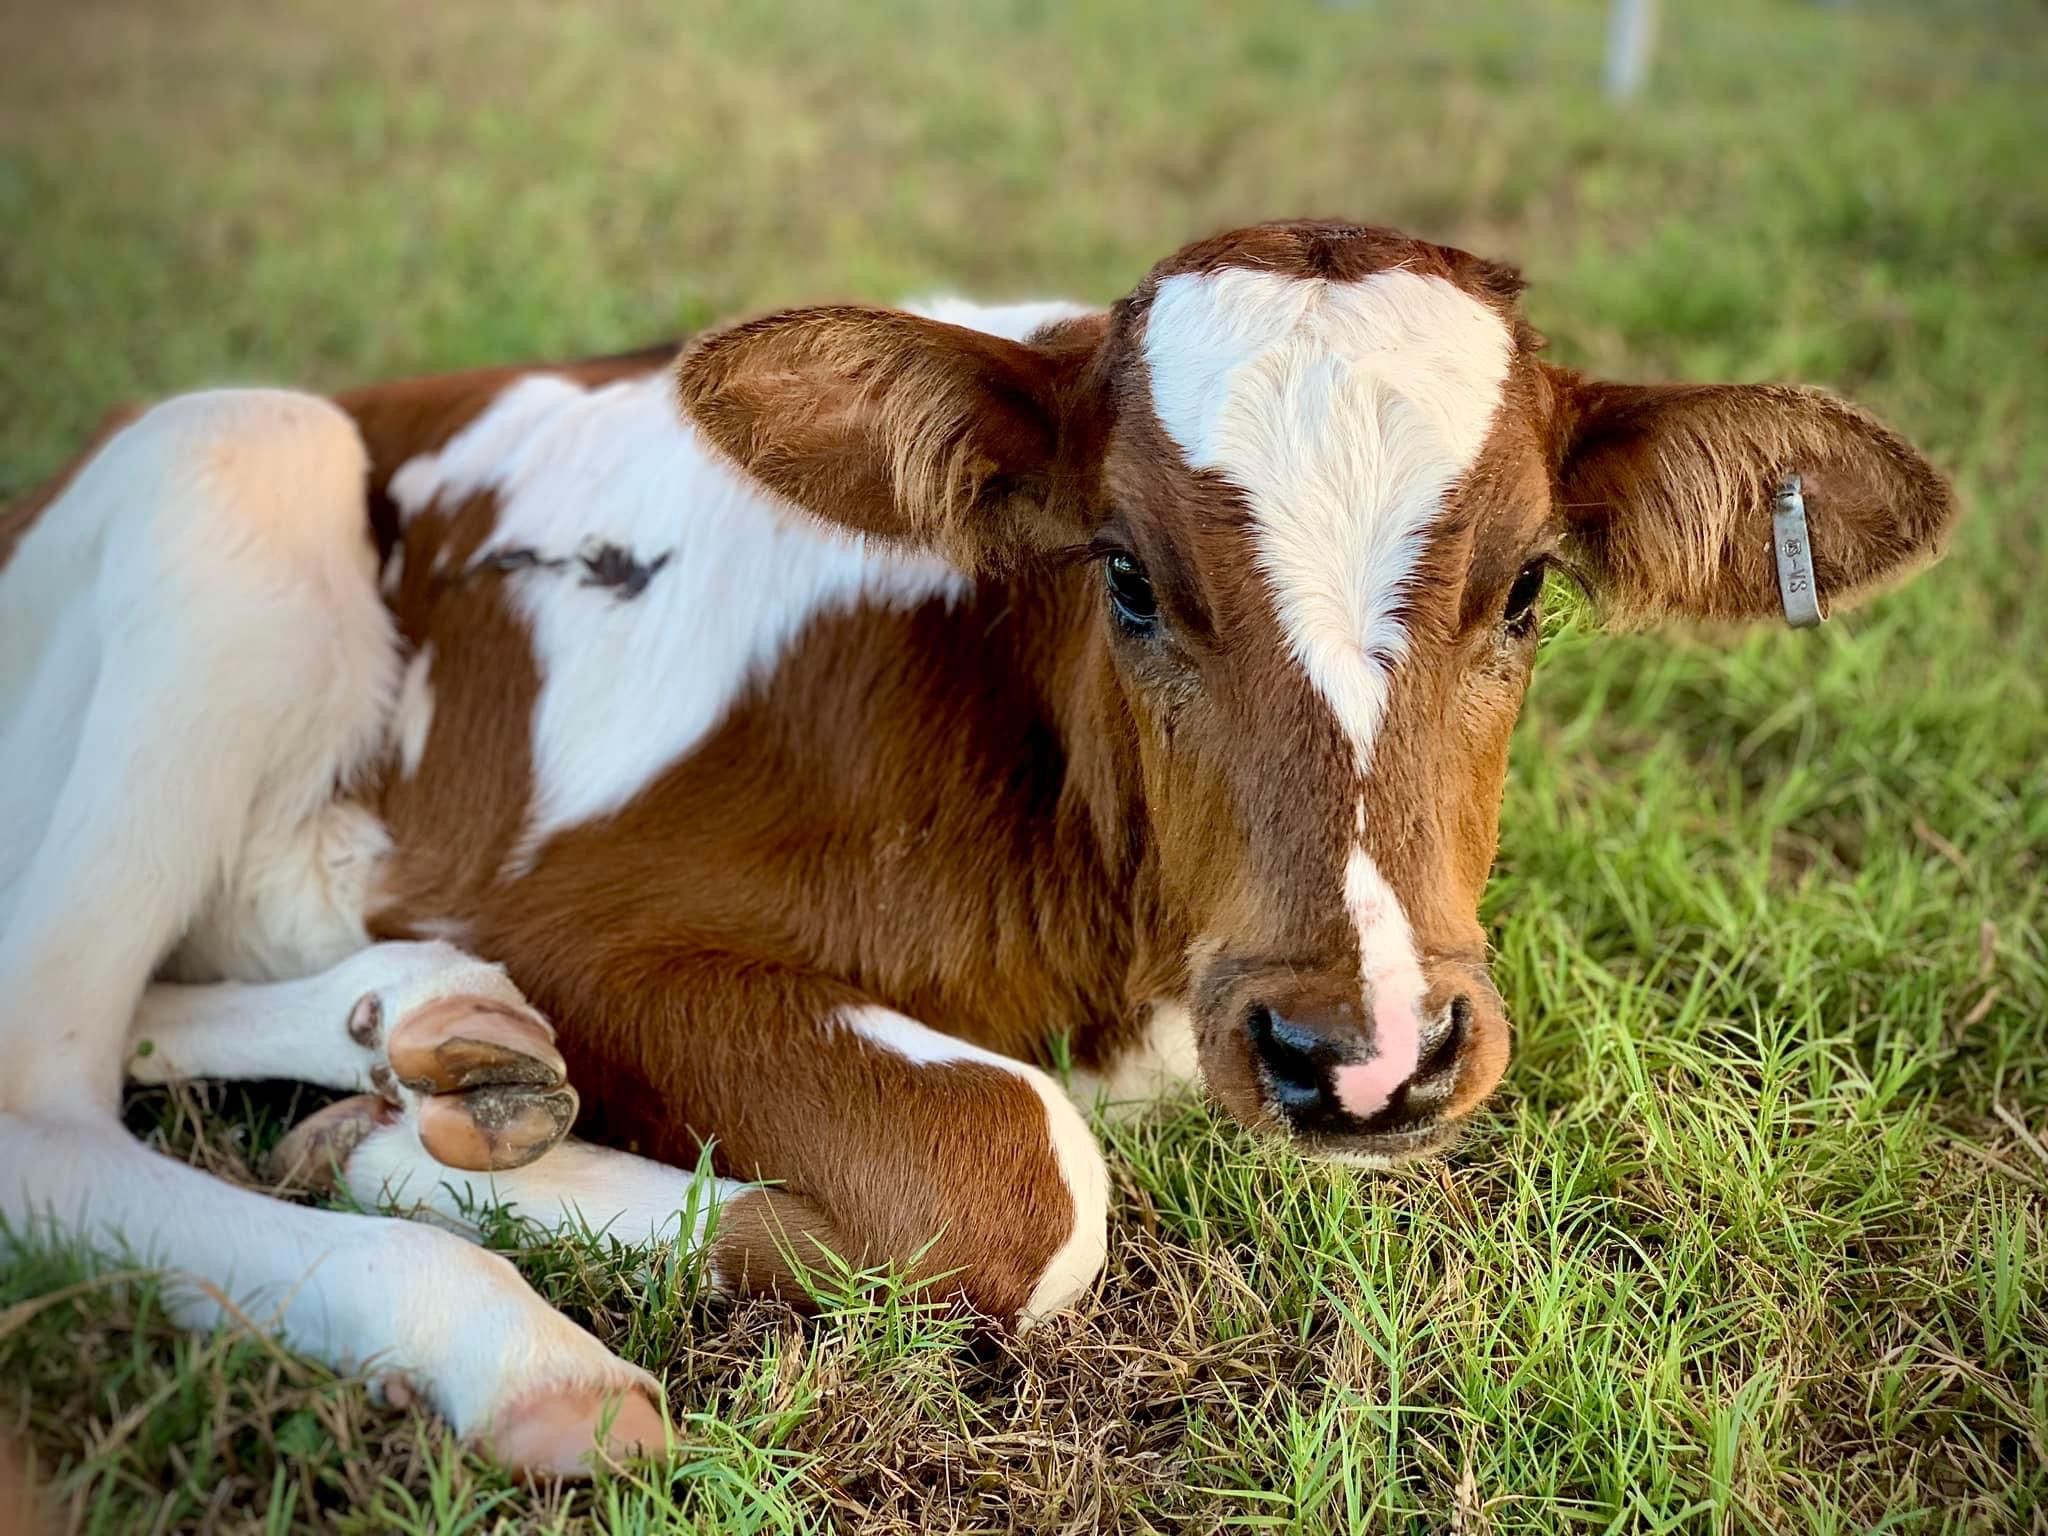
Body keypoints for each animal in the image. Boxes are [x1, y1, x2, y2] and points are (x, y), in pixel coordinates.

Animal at [0, 221, 1955, 1475]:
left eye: (1530, 588)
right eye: (1127, 576)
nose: (1366, 1048)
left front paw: (401, 1115)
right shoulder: (576, 920)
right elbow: (1026, 1177)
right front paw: (407, 1169)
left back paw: (422, 1033)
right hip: (234, 459)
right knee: (43, 1092)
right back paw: (506, 1338)